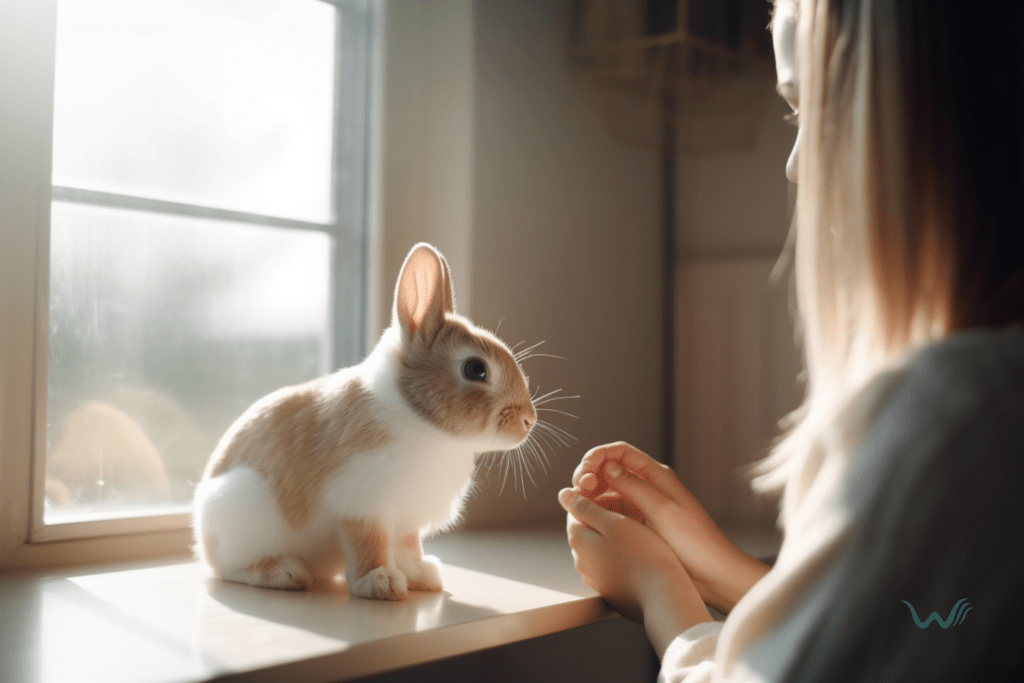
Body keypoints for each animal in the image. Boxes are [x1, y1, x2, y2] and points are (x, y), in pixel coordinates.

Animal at [192, 243, 537, 600]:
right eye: (475, 369)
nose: (529, 419)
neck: (418, 419)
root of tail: (203, 536)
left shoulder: (405, 520)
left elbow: (408, 548)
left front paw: (424, 577)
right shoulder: (362, 507)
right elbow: (369, 545)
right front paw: (381, 583)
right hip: (238, 511)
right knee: (230, 570)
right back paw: (283, 573)